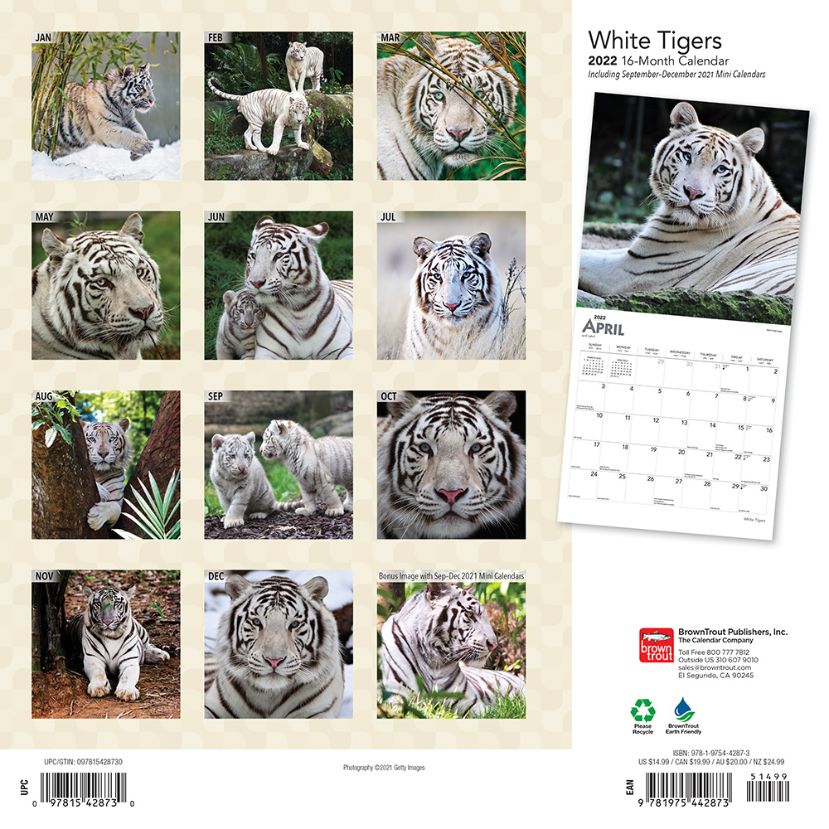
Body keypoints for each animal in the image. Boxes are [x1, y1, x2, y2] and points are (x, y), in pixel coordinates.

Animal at [244, 218, 354, 360]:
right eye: (253, 255)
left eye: (278, 255)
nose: (256, 282)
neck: (299, 308)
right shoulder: (268, 351)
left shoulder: (344, 347)